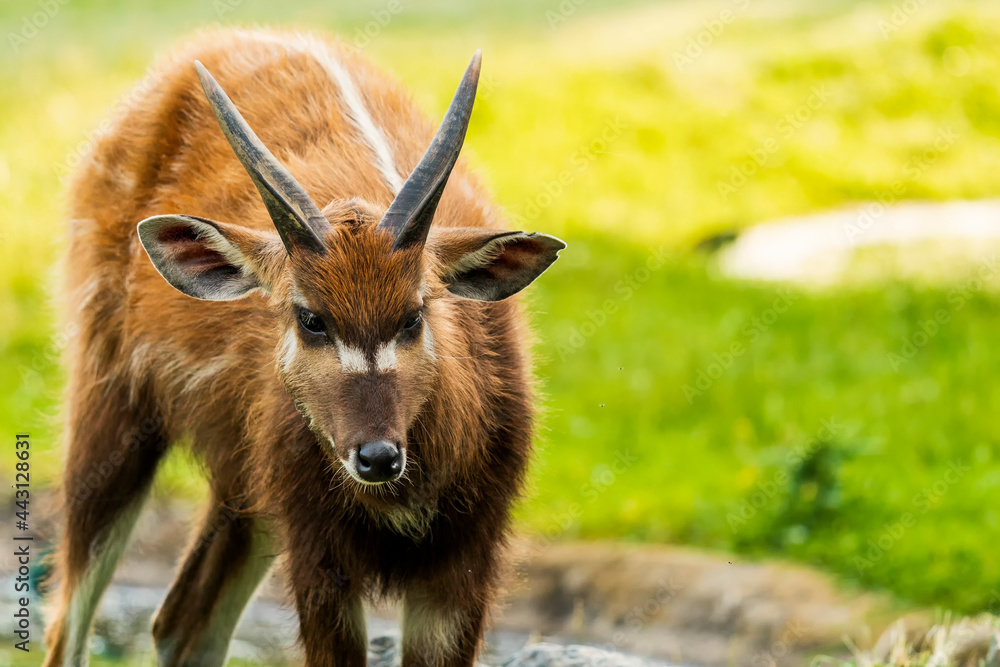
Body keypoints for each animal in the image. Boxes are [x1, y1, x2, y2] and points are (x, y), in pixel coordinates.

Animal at [43, 28, 564, 667]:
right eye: (310, 317)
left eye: (415, 314)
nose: (377, 456)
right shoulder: (318, 556)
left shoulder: (464, 563)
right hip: (109, 398)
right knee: (71, 619)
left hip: (245, 487)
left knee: (180, 622)